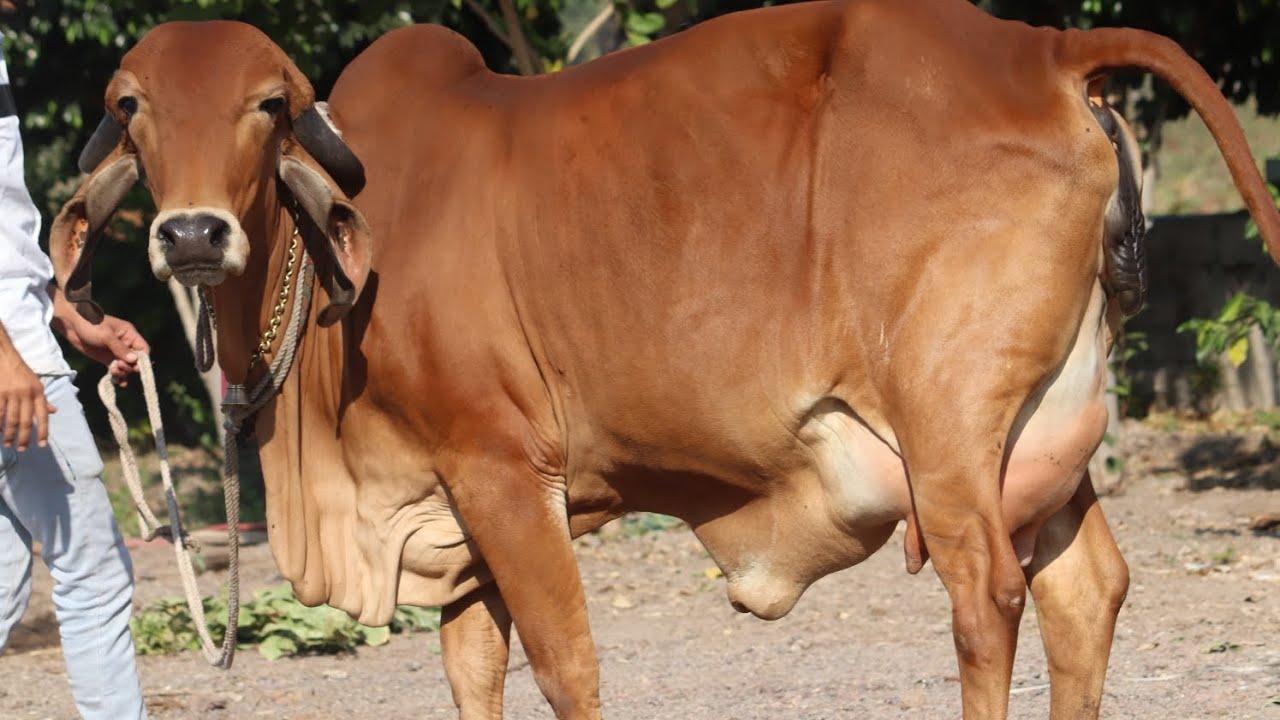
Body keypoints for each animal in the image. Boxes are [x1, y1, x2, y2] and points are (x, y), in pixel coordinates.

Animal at [48, 0, 1280, 717]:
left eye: (269, 105)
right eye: (130, 105)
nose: (192, 235)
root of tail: (1044, 49)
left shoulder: (503, 471)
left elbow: (567, 664)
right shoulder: (451, 510)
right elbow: (471, 669)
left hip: (948, 435)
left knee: (987, 602)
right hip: (1046, 439)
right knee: (1086, 591)